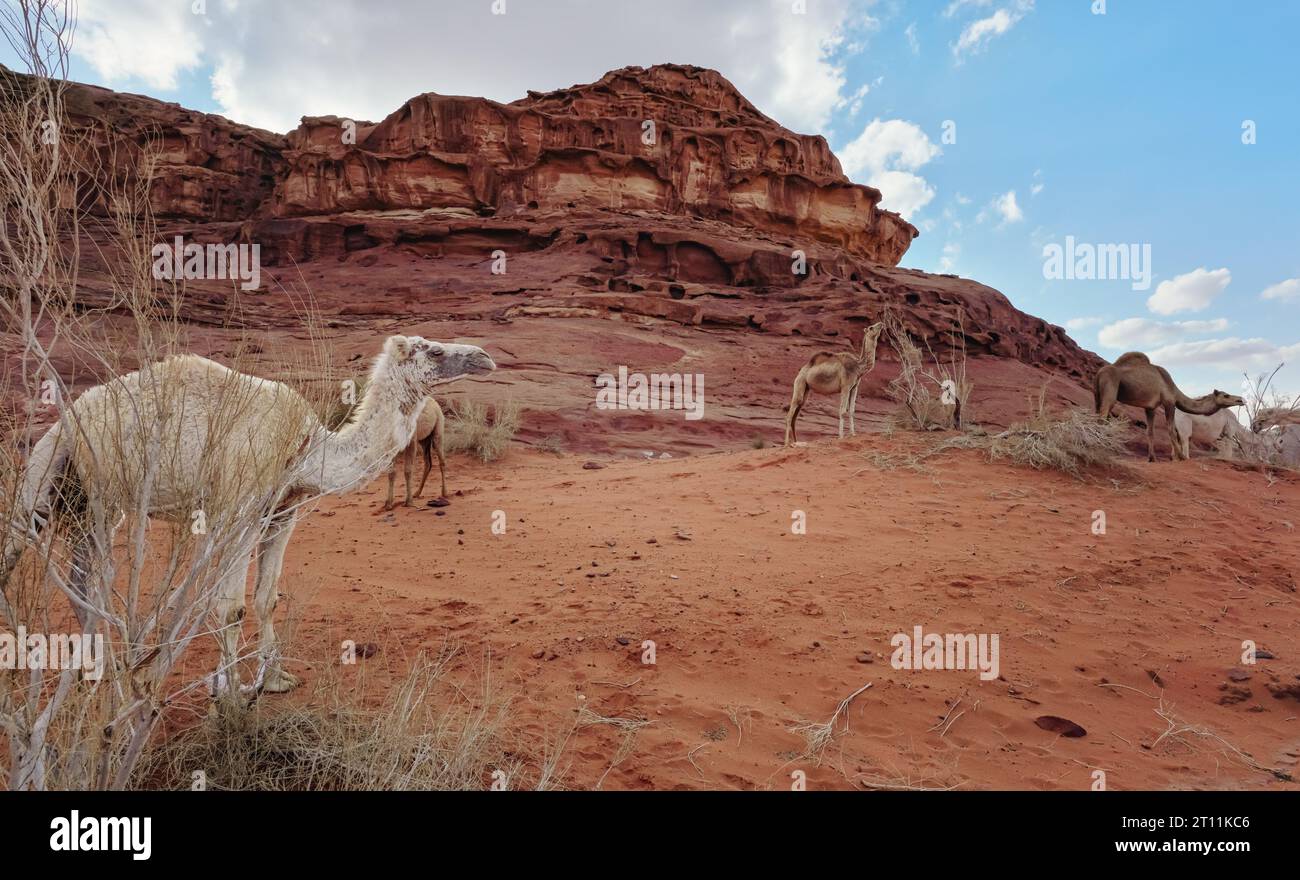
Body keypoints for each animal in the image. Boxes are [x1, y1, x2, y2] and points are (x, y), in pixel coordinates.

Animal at [1, 335, 494, 695]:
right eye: (433, 349)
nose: (485, 357)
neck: (307, 451)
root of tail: (64, 421)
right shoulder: (237, 512)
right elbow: (230, 606)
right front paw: (229, 693)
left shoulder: (281, 514)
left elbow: (266, 598)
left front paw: (274, 680)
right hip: (85, 487)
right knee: (50, 564)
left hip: (85, 499)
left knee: (79, 576)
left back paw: (98, 667)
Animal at [1093, 351, 1244, 462]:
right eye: (1226, 395)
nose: (1240, 400)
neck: (1174, 388)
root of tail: (1099, 373)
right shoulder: (1169, 401)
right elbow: (1171, 430)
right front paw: (1181, 457)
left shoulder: (1150, 407)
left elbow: (1150, 431)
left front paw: (1152, 458)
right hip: (1111, 386)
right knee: (1103, 416)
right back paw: (1102, 449)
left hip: (1097, 394)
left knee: (1096, 415)